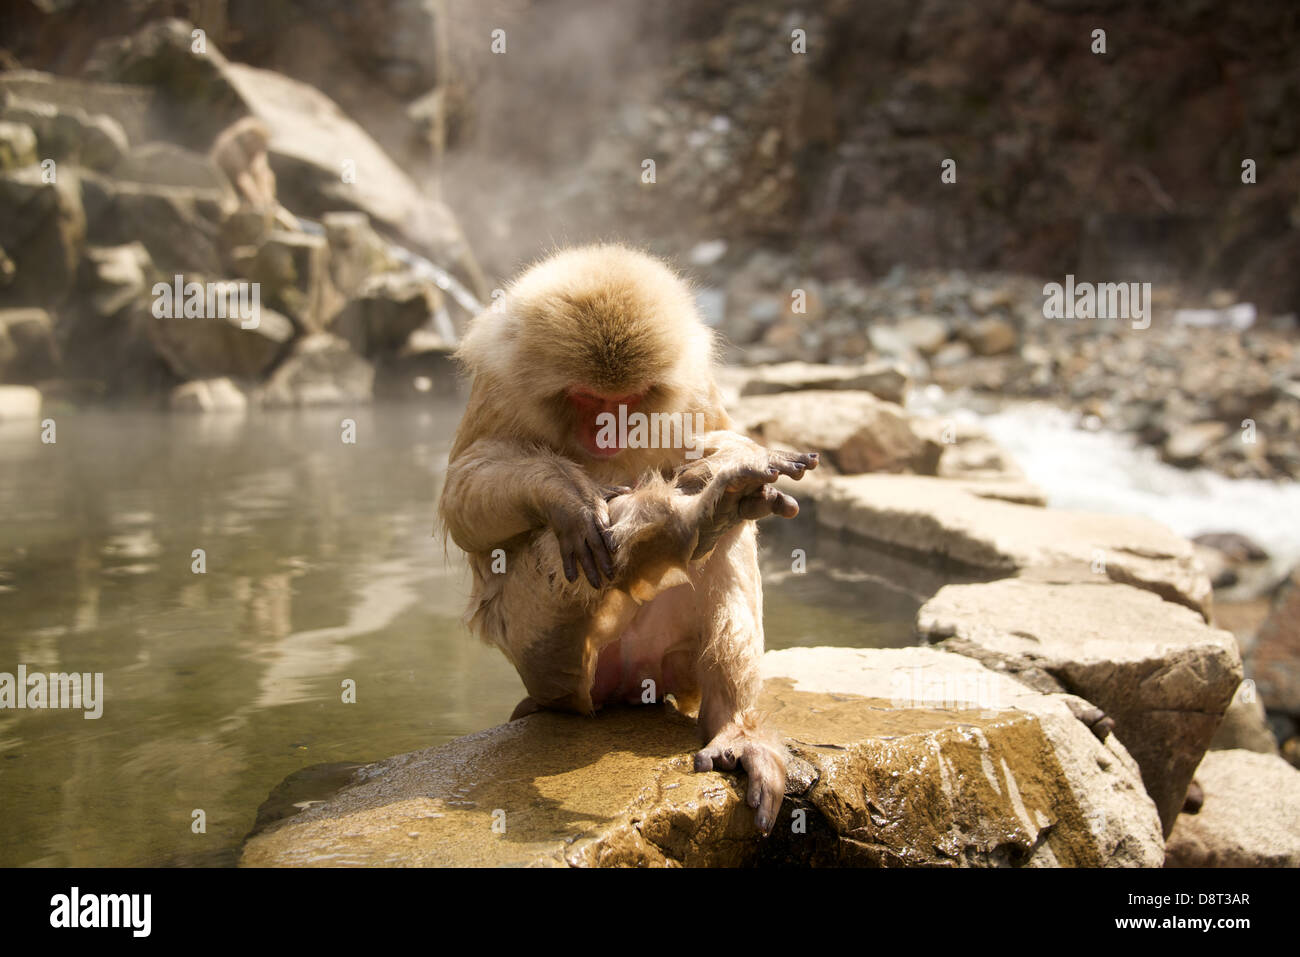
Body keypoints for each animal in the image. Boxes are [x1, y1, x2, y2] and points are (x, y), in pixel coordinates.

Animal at [437, 244, 820, 834]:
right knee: (566, 555)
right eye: (588, 398)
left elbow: (713, 438)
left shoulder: (693, 384)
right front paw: (566, 497)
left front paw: (729, 460)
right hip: (550, 663)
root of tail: (620, 687)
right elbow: (465, 494)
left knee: (728, 544)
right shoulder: (503, 385)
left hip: (669, 666)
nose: (608, 430)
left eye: (628, 399)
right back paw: (677, 529)